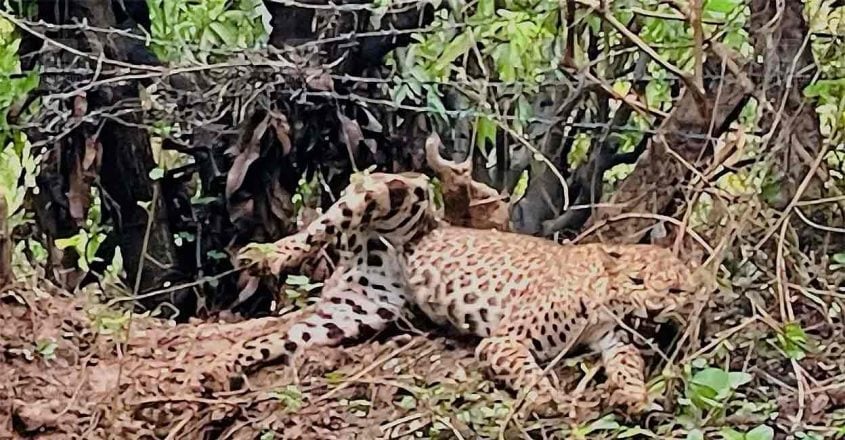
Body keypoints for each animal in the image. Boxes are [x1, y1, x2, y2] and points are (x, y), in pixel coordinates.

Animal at [227, 171, 699, 416]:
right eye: (637, 282)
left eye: (676, 290)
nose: (656, 308)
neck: (602, 301)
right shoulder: (504, 339)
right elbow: (528, 369)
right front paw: (545, 397)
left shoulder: (614, 343)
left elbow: (629, 364)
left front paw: (634, 396)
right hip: (401, 189)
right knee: (323, 222)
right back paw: (262, 256)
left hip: (359, 310)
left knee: (277, 337)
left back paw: (223, 367)